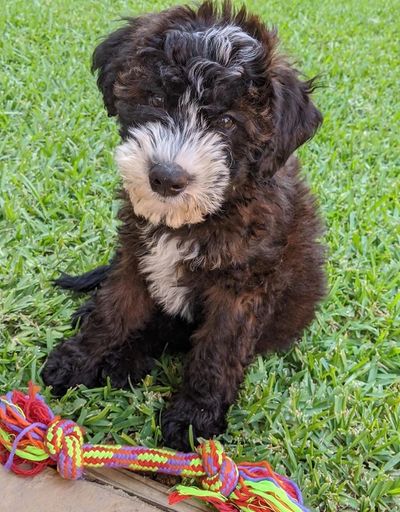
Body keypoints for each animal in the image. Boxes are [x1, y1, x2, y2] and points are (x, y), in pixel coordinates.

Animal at [42, 0, 326, 450]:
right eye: (157, 98)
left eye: (226, 122)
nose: (165, 177)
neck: (199, 218)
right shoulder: (136, 253)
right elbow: (114, 309)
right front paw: (79, 359)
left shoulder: (241, 289)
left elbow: (217, 350)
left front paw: (194, 416)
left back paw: (126, 362)